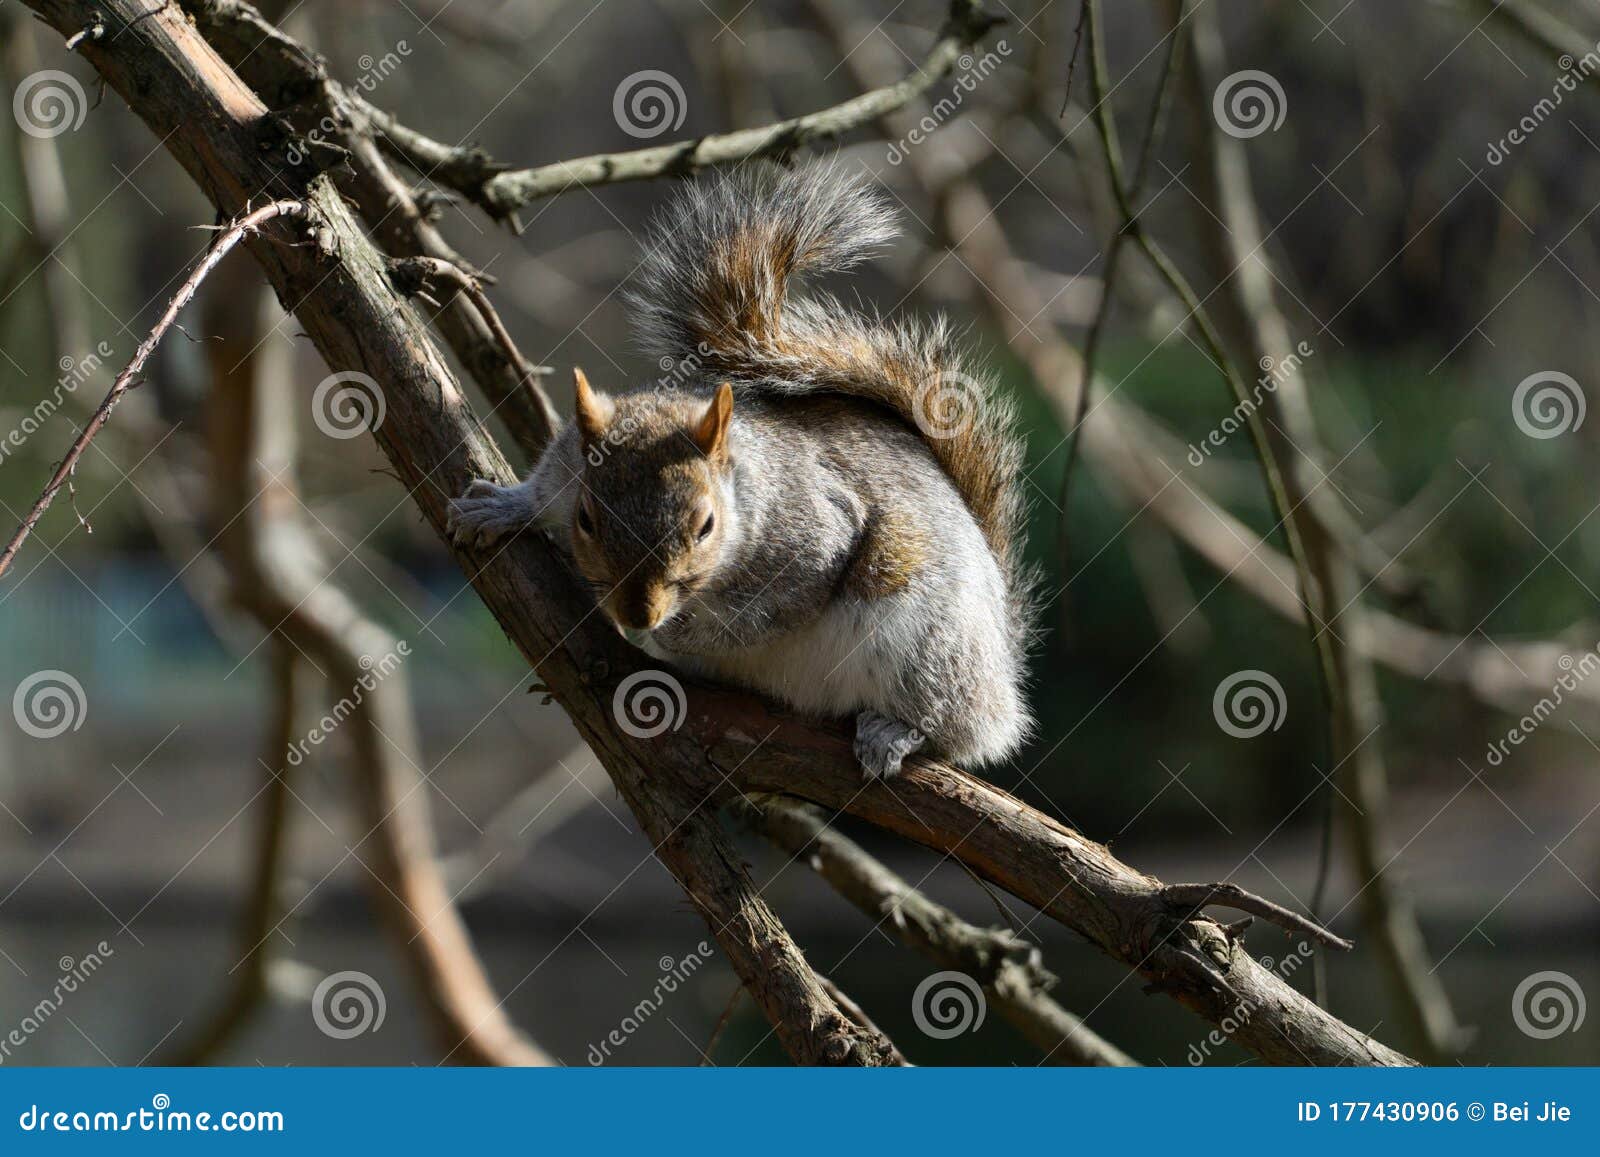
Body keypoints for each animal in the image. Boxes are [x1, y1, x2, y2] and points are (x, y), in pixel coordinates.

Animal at [447, 162, 1035, 779]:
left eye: (705, 526)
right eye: (585, 518)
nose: (640, 614)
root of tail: (1002, 661)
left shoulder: (812, 535)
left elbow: (766, 613)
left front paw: (682, 631)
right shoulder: (569, 461)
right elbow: (542, 489)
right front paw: (501, 507)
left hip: (932, 645)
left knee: (961, 728)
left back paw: (896, 732)